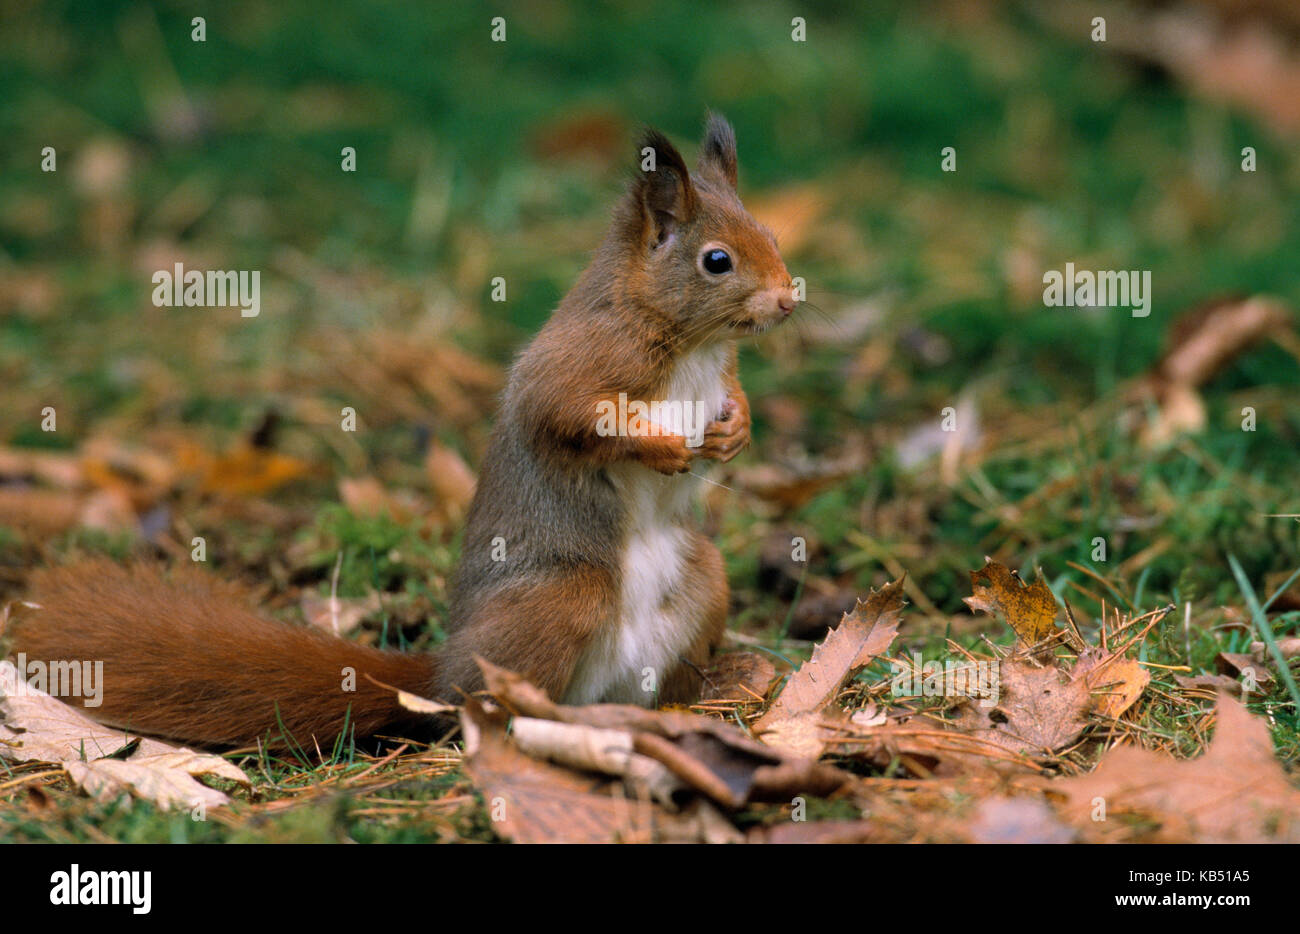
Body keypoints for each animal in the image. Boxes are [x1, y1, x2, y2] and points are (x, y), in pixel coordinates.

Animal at [4, 114, 795, 749]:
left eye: (772, 234)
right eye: (716, 261)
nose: (789, 301)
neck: (691, 344)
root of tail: (439, 673)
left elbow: (732, 400)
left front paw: (734, 433)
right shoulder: (585, 359)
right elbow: (566, 413)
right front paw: (664, 446)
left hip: (701, 581)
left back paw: (709, 692)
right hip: (562, 601)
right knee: (478, 707)